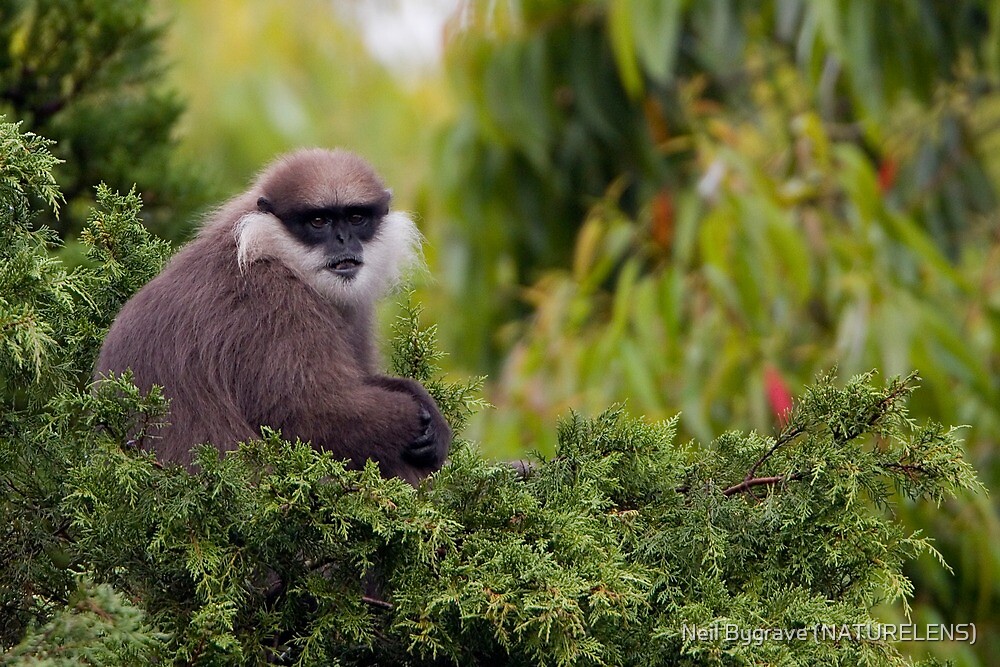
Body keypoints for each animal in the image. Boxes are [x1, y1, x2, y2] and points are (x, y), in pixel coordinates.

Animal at [94, 148, 451, 485]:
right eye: (318, 221)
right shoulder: (275, 304)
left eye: (355, 218)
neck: (272, 253)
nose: (343, 240)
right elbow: (310, 412)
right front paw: (418, 416)